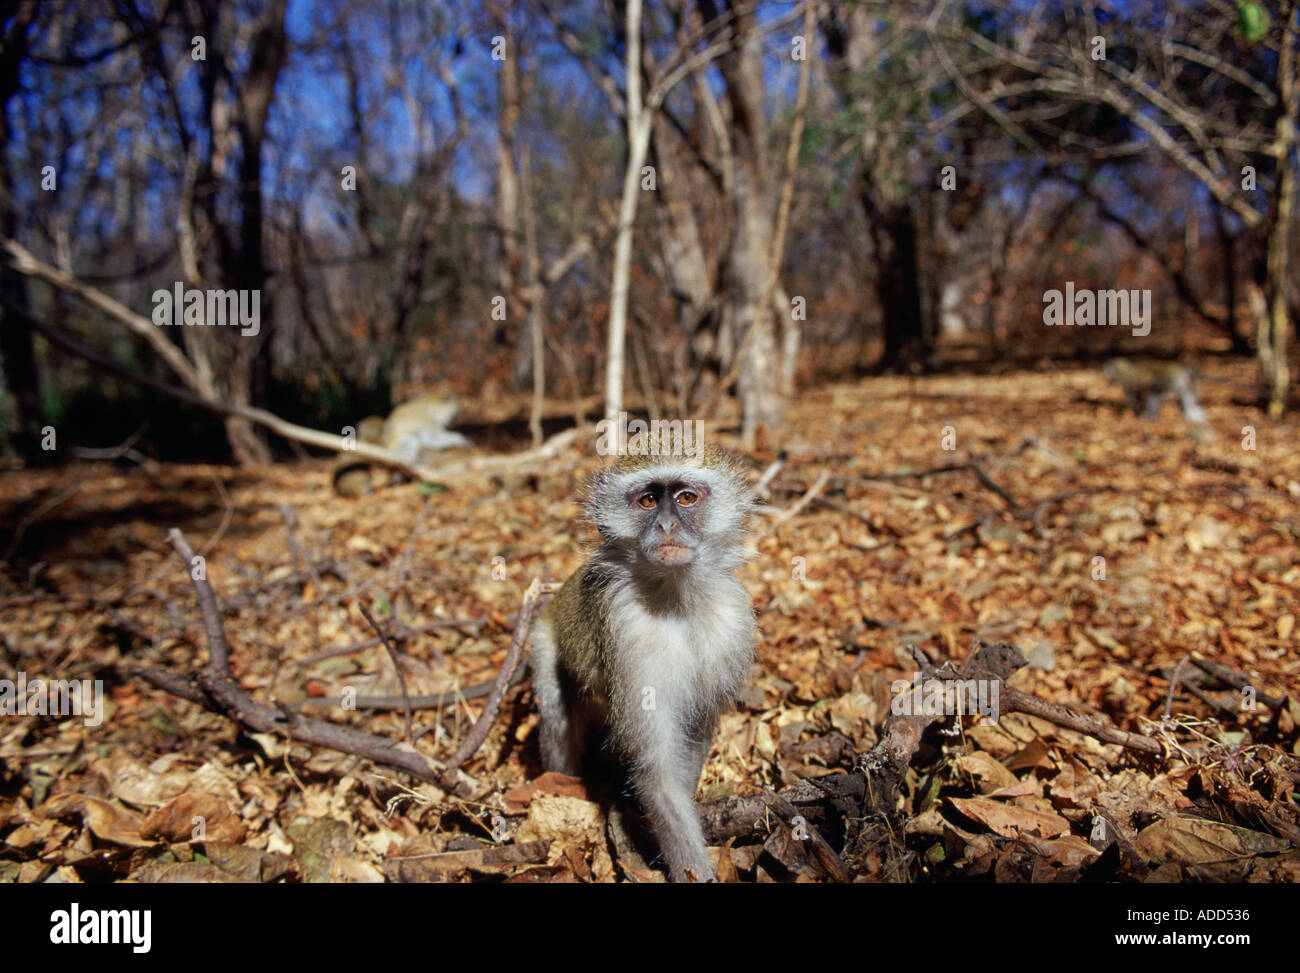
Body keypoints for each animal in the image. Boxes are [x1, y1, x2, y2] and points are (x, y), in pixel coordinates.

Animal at [331, 395, 471, 497]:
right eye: (456, 411)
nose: (459, 414)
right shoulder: (428, 421)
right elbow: (431, 436)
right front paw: (458, 438)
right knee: (413, 439)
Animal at [530, 444, 756, 882]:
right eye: (649, 500)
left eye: (686, 498)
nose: (667, 525)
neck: (677, 599)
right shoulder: (628, 631)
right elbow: (657, 772)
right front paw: (695, 872)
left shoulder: (731, 622)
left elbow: (695, 734)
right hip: (542, 642)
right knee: (556, 715)